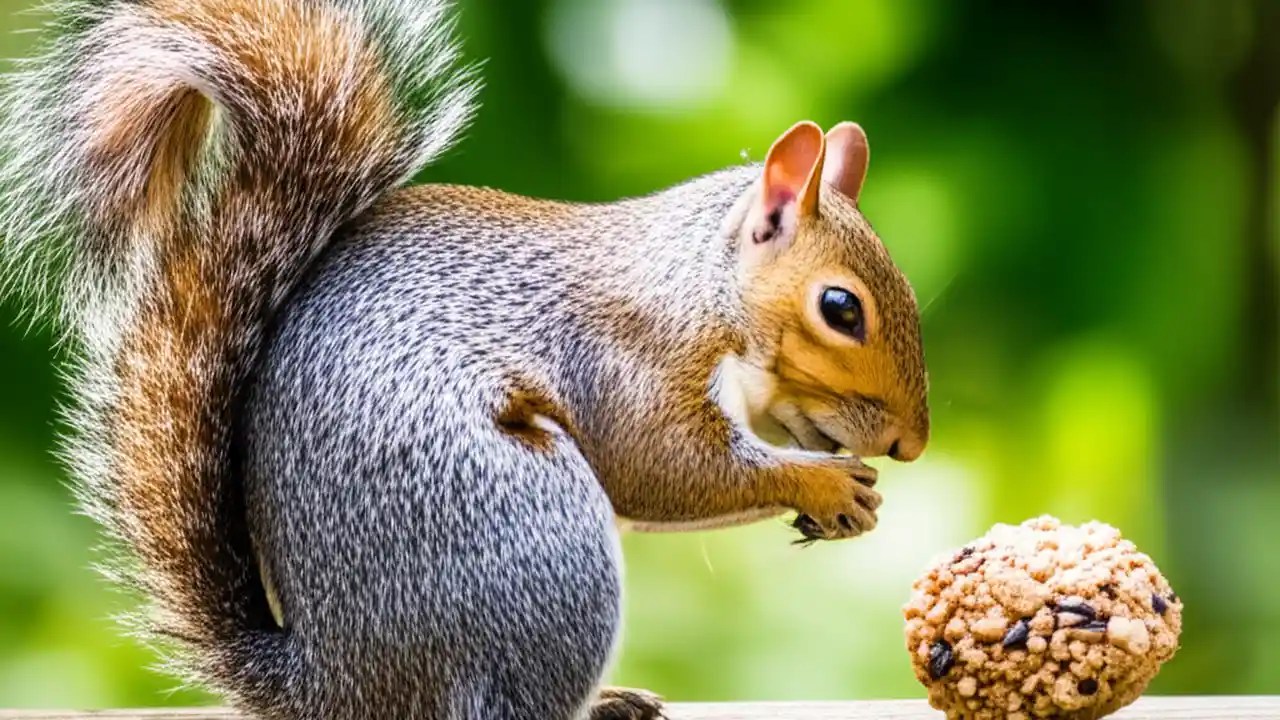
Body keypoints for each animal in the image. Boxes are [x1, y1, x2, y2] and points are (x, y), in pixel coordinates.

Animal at [0, 0, 929, 718]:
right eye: (841, 309)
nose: (910, 445)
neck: (700, 283)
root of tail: (334, 685)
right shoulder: (630, 355)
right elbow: (665, 466)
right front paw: (821, 485)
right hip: (534, 536)